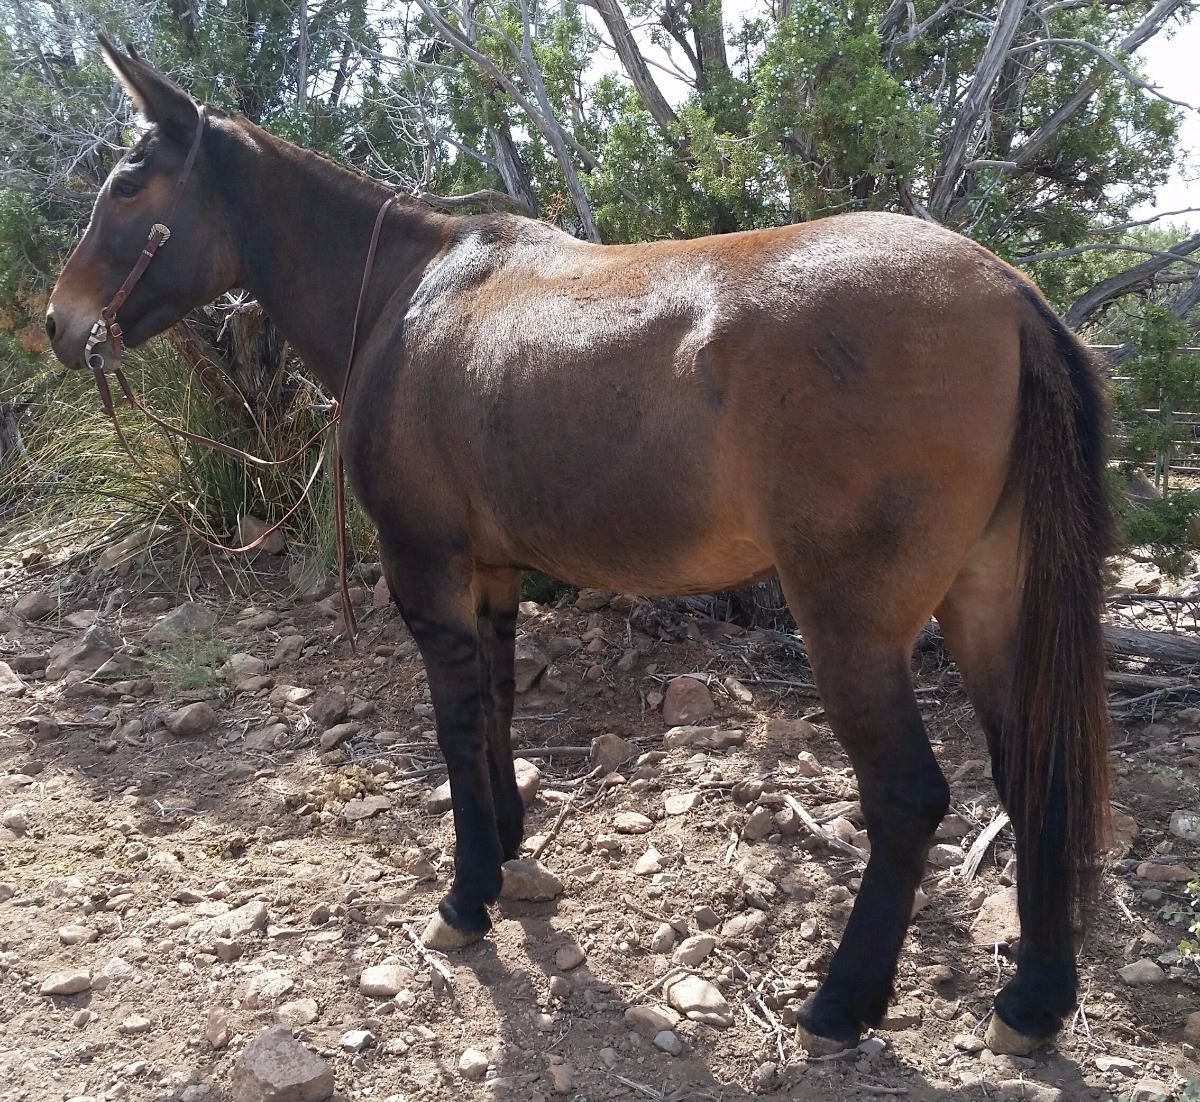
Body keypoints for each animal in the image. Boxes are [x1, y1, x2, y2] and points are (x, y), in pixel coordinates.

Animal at [46, 37, 1111, 1058]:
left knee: (907, 799)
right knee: (1035, 775)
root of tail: (1007, 294)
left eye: (129, 185)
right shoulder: (490, 571)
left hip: (852, 623)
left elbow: (454, 723)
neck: (407, 296)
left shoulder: (426, 565)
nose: (59, 324)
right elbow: (496, 707)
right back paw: (1033, 1003)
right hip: (987, 601)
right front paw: (507, 849)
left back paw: (841, 1004)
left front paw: (466, 896)